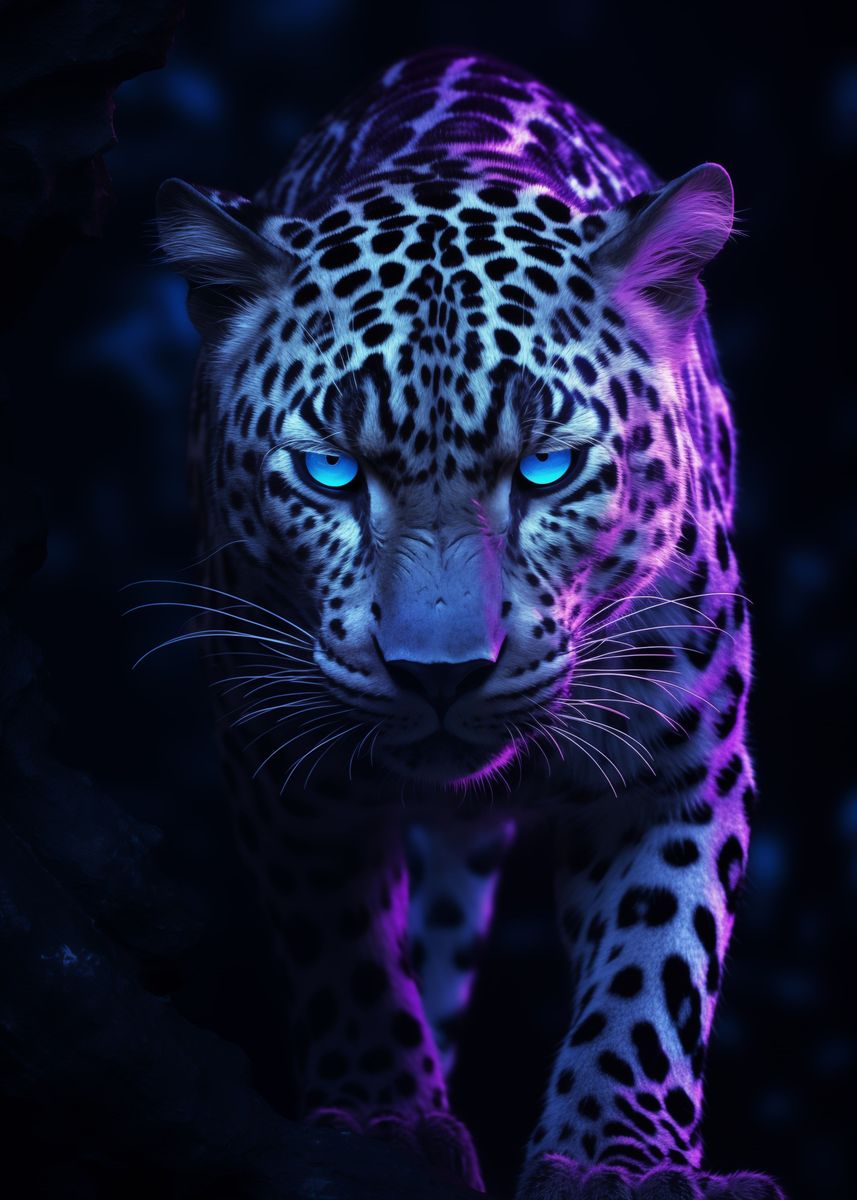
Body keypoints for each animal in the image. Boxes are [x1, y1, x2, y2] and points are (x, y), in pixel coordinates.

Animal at [153, 47, 785, 1199]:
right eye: (332, 471)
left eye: (545, 469)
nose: (439, 674)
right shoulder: (281, 759)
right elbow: (343, 947)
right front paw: (380, 1115)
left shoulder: (682, 761)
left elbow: (652, 965)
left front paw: (615, 1155)